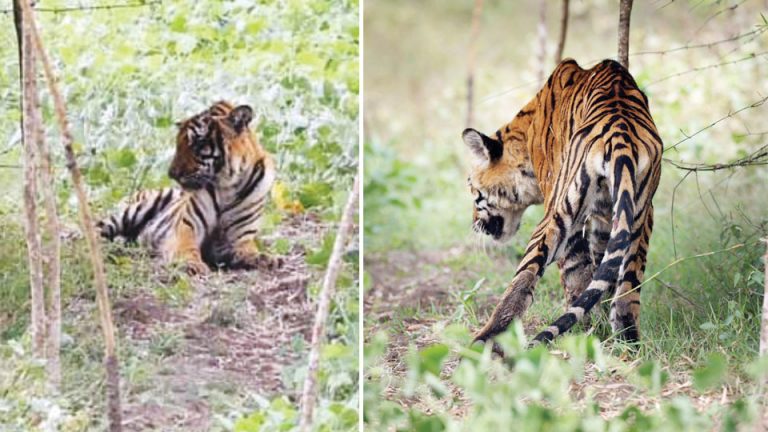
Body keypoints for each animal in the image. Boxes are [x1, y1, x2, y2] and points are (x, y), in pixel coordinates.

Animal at [98, 101, 279, 275]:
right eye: (178, 144)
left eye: (198, 144)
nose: (171, 174)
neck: (228, 186)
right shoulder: (188, 227)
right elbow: (188, 248)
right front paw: (193, 264)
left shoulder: (239, 239)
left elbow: (249, 252)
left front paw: (267, 259)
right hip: (134, 211)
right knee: (99, 226)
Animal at [464, 58, 662, 348]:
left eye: (472, 189)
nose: (474, 224)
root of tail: (620, 137)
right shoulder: (606, 219)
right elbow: (600, 273)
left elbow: (576, 277)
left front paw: (585, 329)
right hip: (637, 218)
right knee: (627, 289)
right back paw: (628, 343)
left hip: (558, 217)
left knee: (522, 282)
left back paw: (485, 341)